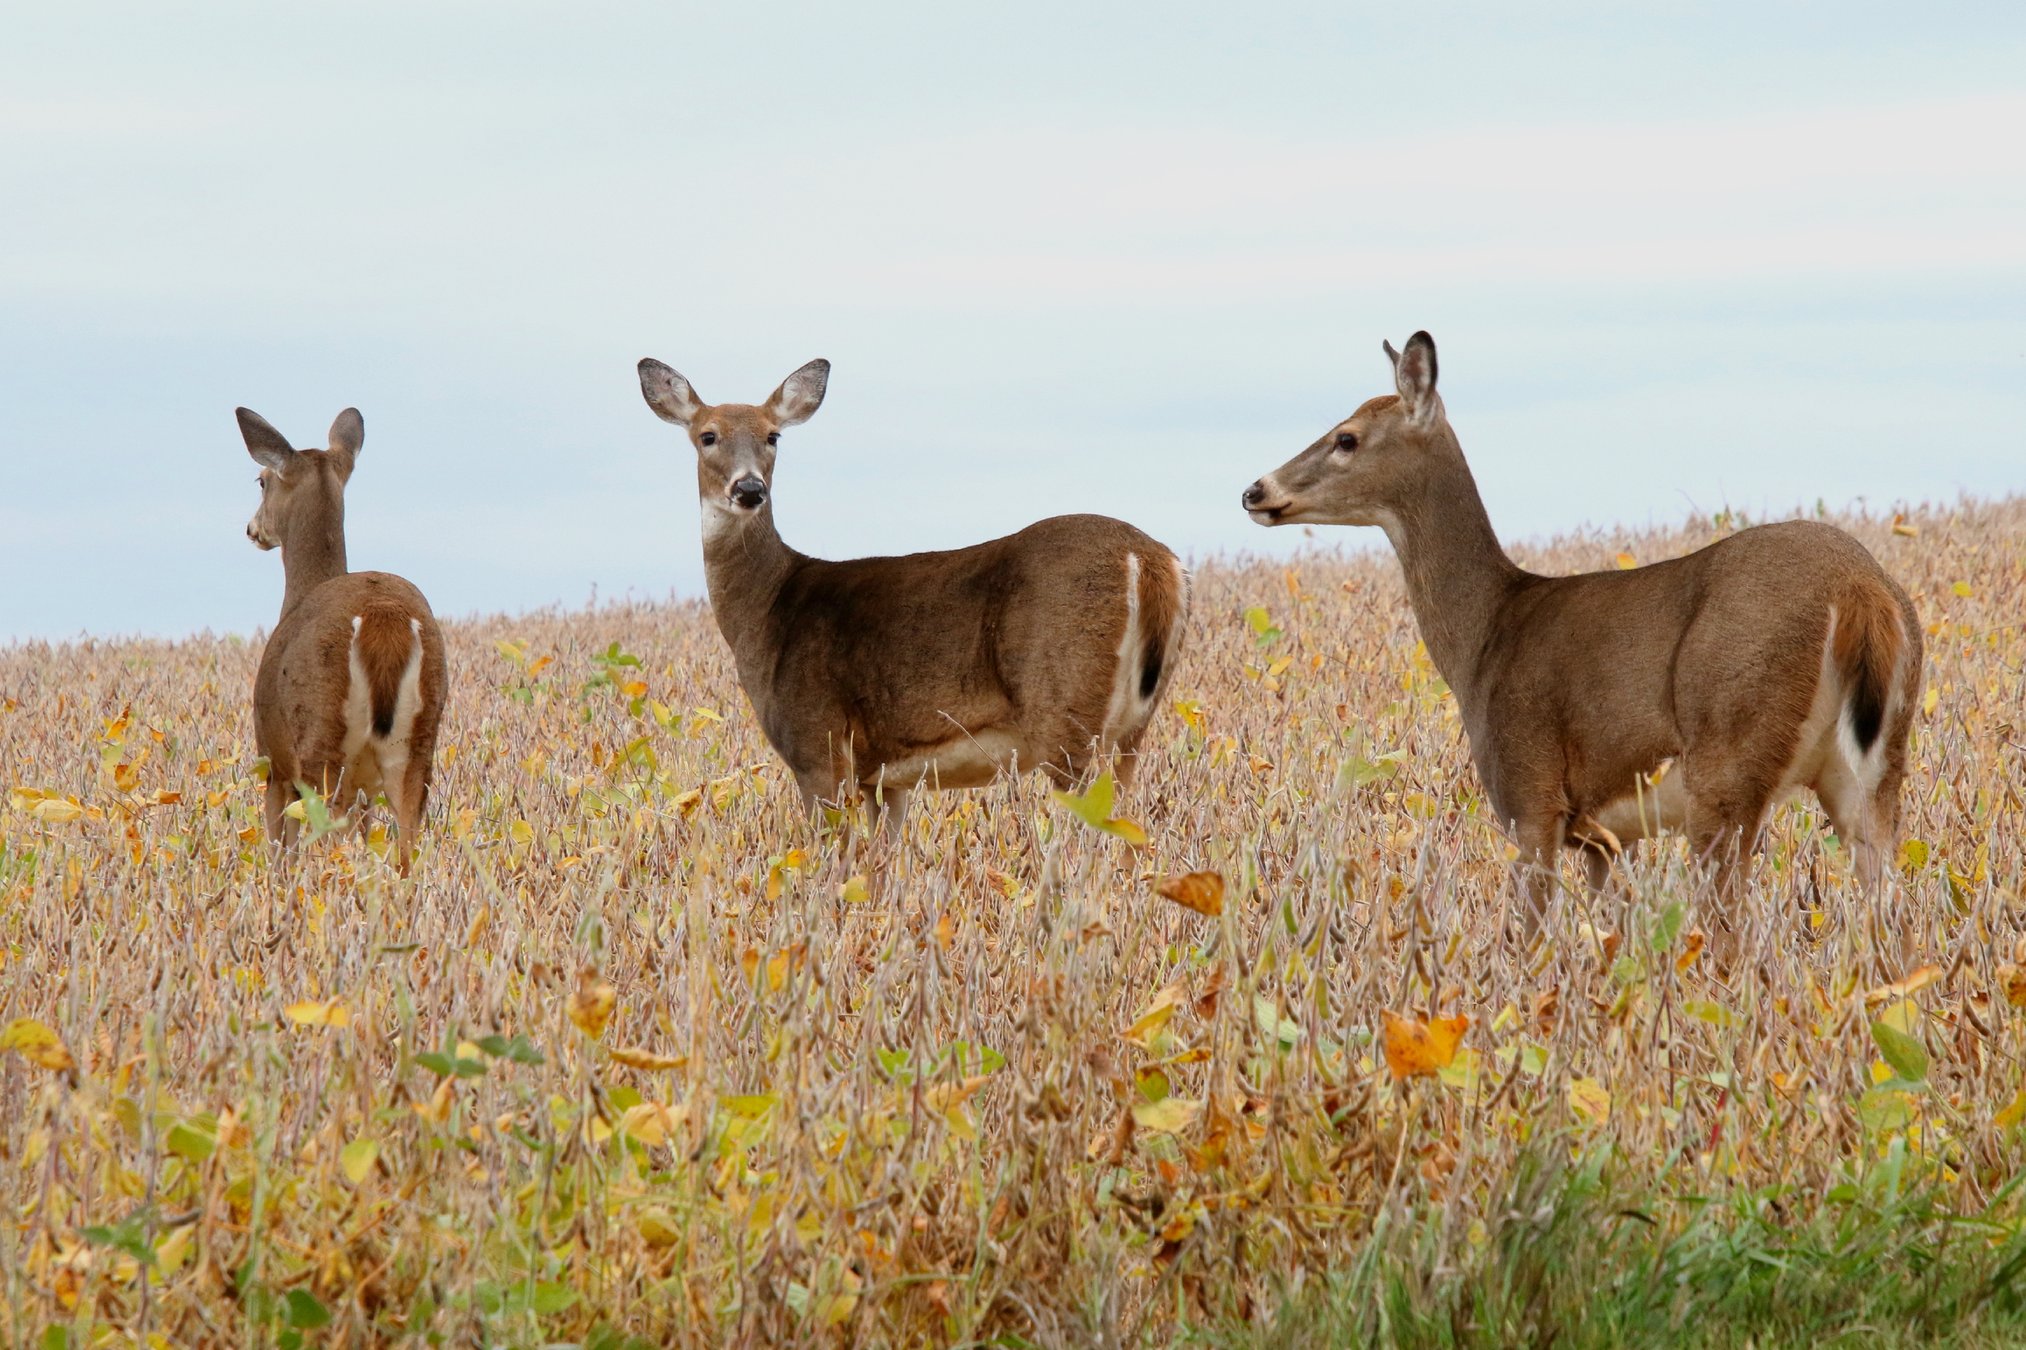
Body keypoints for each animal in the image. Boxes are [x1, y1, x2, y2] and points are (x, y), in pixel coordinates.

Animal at [238, 406, 447, 876]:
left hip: (320, 741)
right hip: (417, 747)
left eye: (261, 480)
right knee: (407, 850)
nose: (251, 529)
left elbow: (279, 853)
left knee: (338, 847)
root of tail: (383, 614)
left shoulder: (274, 761)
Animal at [636, 357, 1189, 832]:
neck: (767, 610)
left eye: (773, 436)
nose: (749, 489)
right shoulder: (884, 777)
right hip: (1133, 727)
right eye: (707, 436)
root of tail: (1150, 560)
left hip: (1067, 714)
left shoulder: (816, 743)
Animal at [1243, 332, 1922, 951]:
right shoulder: (1605, 837)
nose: (1255, 490)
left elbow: (1530, 941)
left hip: (1728, 763)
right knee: (1892, 920)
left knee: (1738, 937)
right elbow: (1610, 943)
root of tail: (1861, 589)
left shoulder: (1531, 797)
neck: (1485, 638)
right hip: (1872, 771)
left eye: (1347, 437)